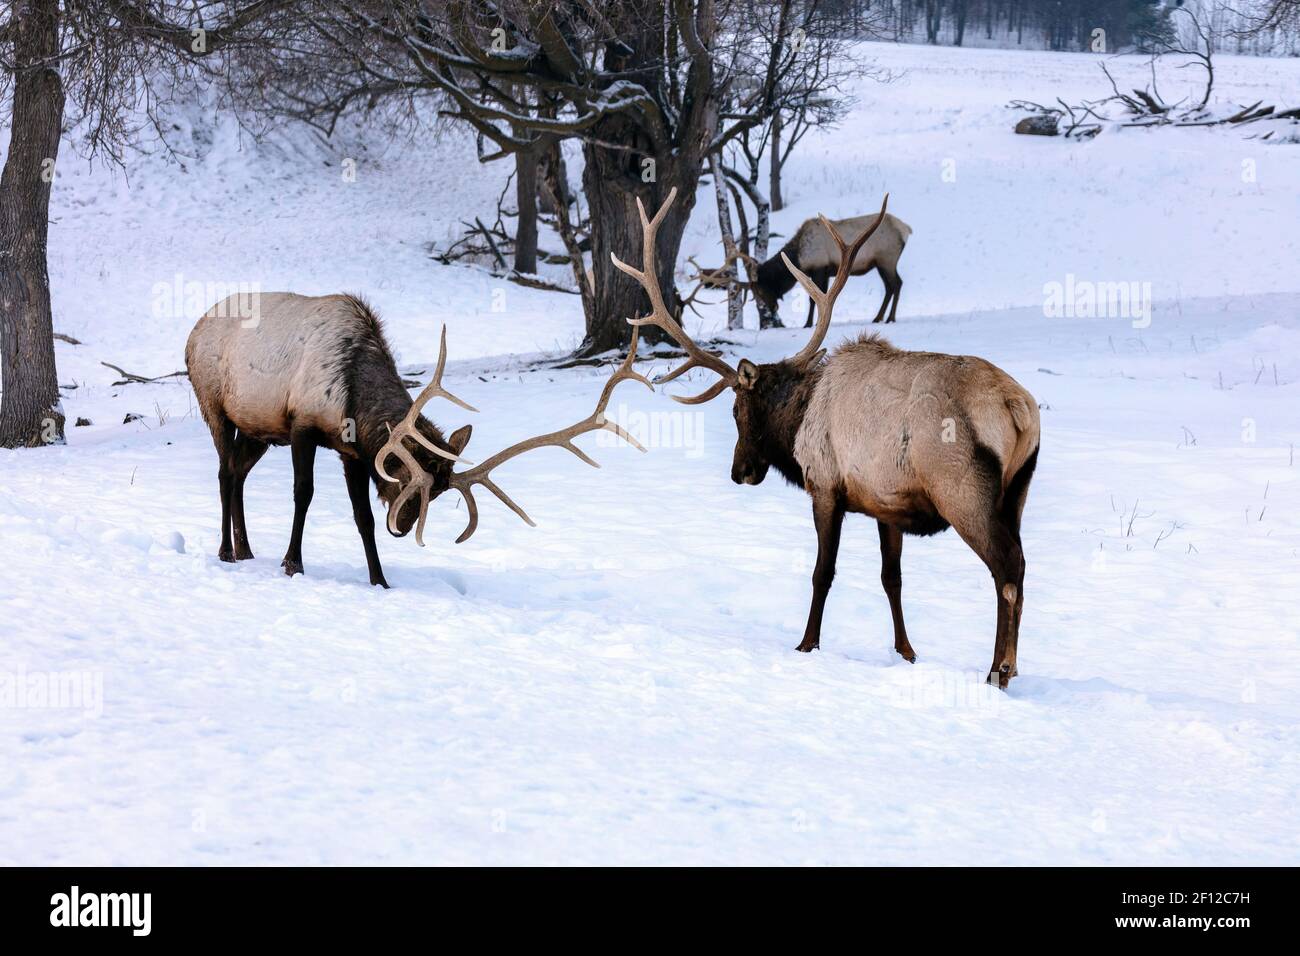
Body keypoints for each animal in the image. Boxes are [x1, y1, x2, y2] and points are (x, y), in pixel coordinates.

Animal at [185, 292, 649, 587]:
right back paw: (226, 551)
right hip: (214, 405)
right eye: (403, 474)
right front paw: (292, 563)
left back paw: (246, 549)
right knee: (225, 473)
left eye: (439, 492)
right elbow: (304, 494)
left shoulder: (351, 452)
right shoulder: (302, 425)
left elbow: (363, 517)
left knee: (239, 472)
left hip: (258, 428)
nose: (404, 527)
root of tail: (193, 331)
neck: (352, 399)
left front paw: (379, 579)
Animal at [745, 209, 912, 328]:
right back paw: (878, 318)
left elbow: (812, 299)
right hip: (882, 263)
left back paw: (889, 318)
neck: (799, 257)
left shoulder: (819, 267)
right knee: (891, 286)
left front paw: (808, 324)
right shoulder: (825, 272)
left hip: (887, 260)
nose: (772, 308)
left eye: (761, 289)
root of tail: (906, 229)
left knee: (896, 284)